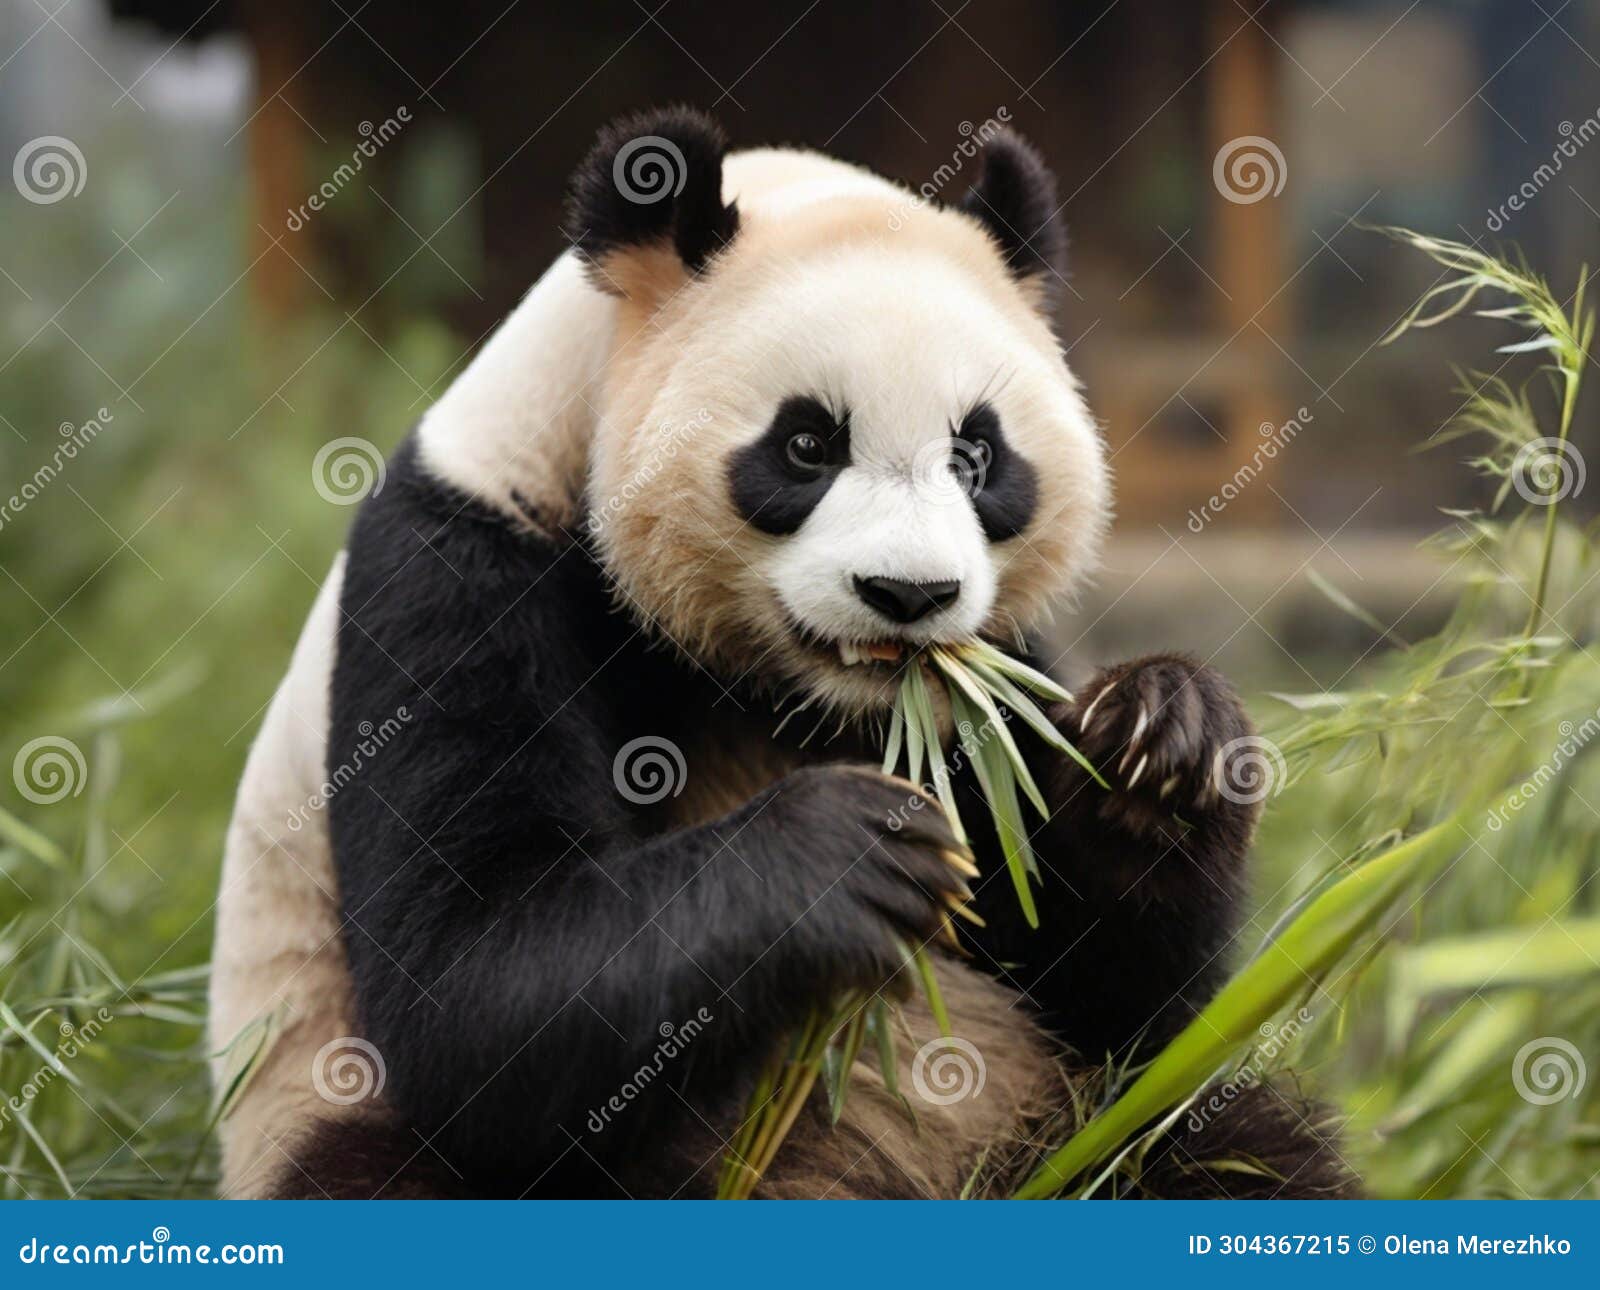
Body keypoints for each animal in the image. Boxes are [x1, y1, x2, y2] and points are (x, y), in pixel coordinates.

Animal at [208, 107, 1354, 1200]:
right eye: (808, 445)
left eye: (975, 455)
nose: (909, 595)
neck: (791, 693)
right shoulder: (466, 564)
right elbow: (470, 985)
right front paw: (847, 851)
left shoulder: (996, 664)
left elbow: (1121, 1006)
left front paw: (1158, 742)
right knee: (380, 1175)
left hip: (1045, 1131)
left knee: (1221, 1154)